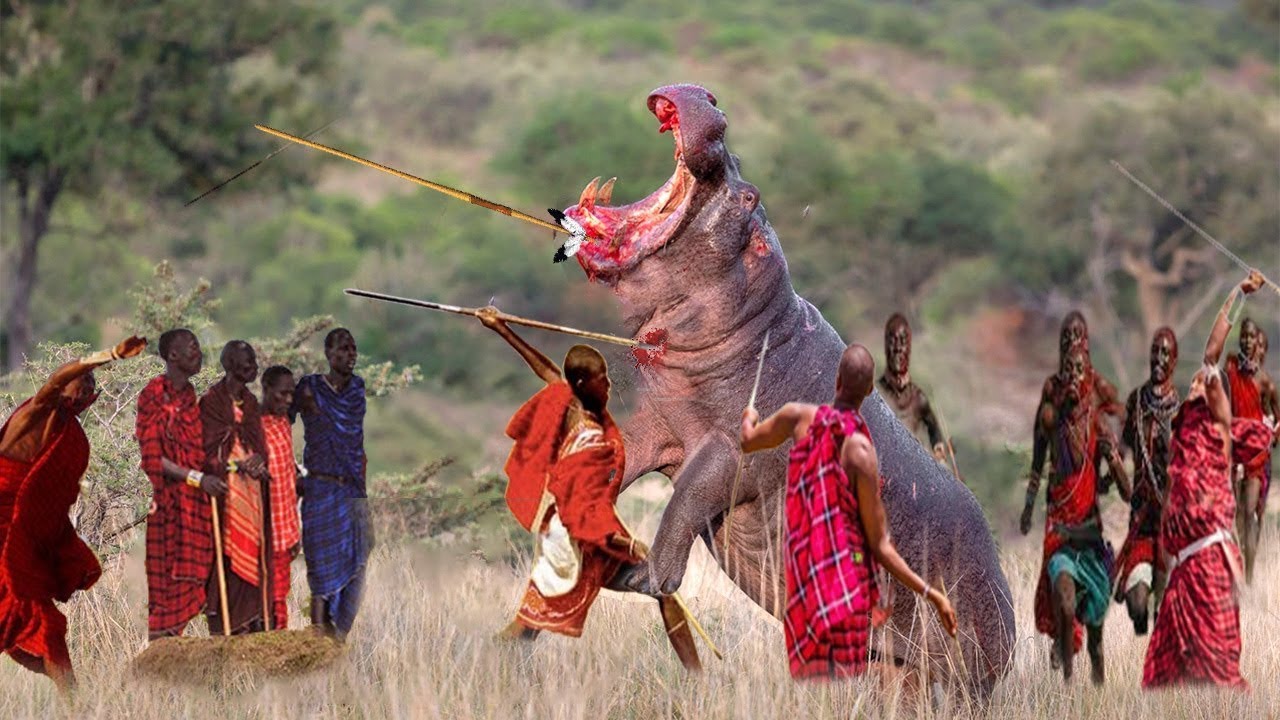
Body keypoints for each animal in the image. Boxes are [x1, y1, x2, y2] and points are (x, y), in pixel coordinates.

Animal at [559, 84, 1015, 697]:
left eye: (749, 196)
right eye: (742, 169)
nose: (710, 100)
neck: (756, 324)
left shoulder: (730, 453)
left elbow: (681, 509)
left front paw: (631, 570)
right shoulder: (658, 423)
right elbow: (618, 456)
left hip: (961, 671)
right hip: (884, 664)